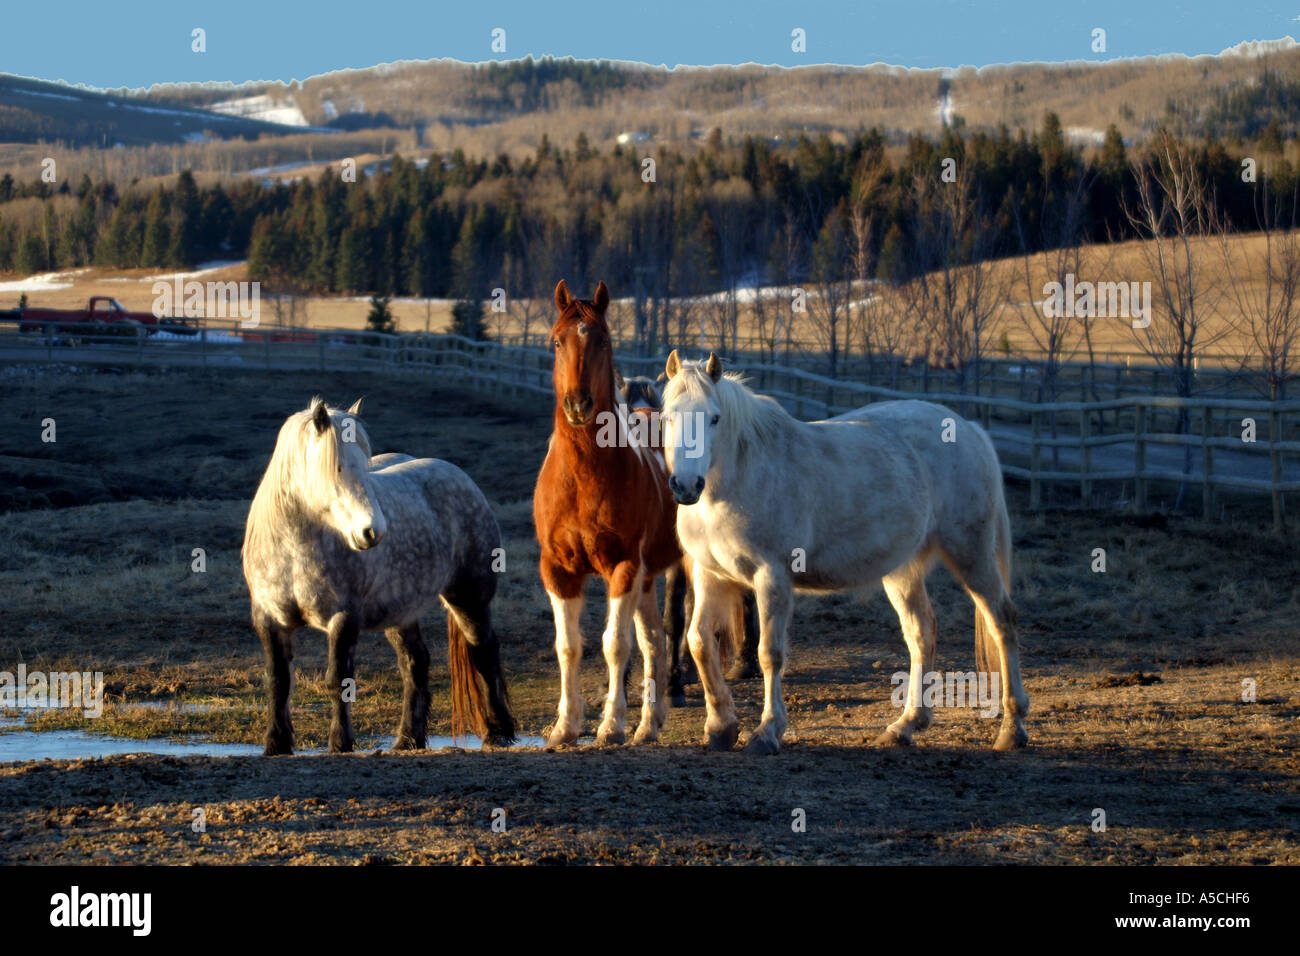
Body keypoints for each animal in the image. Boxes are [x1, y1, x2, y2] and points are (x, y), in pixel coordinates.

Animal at [242, 398, 515, 755]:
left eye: (366, 467)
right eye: (337, 468)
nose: (372, 532)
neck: (293, 549)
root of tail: (460, 477)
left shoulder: (344, 617)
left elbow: (338, 680)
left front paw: (340, 743)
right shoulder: (268, 618)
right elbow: (278, 680)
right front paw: (276, 743)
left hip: (469, 597)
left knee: (484, 650)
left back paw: (498, 731)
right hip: (401, 611)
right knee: (415, 663)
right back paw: (408, 738)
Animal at [533, 279, 686, 747]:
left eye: (602, 339)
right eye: (556, 341)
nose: (578, 404)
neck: (584, 478)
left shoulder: (622, 566)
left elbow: (615, 644)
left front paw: (610, 725)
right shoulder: (558, 569)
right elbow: (569, 646)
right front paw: (565, 726)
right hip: (647, 579)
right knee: (654, 639)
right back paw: (650, 724)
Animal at [659, 351, 1029, 754]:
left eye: (714, 417)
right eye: (667, 416)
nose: (686, 486)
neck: (734, 481)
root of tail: (970, 429)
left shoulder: (771, 577)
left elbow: (769, 653)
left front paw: (767, 731)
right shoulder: (709, 575)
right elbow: (699, 642)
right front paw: (720, 727)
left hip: (971, 553)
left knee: (1002, 621)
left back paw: (1012, 728)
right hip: (904, 570)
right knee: (921, 632)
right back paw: (905, 726)